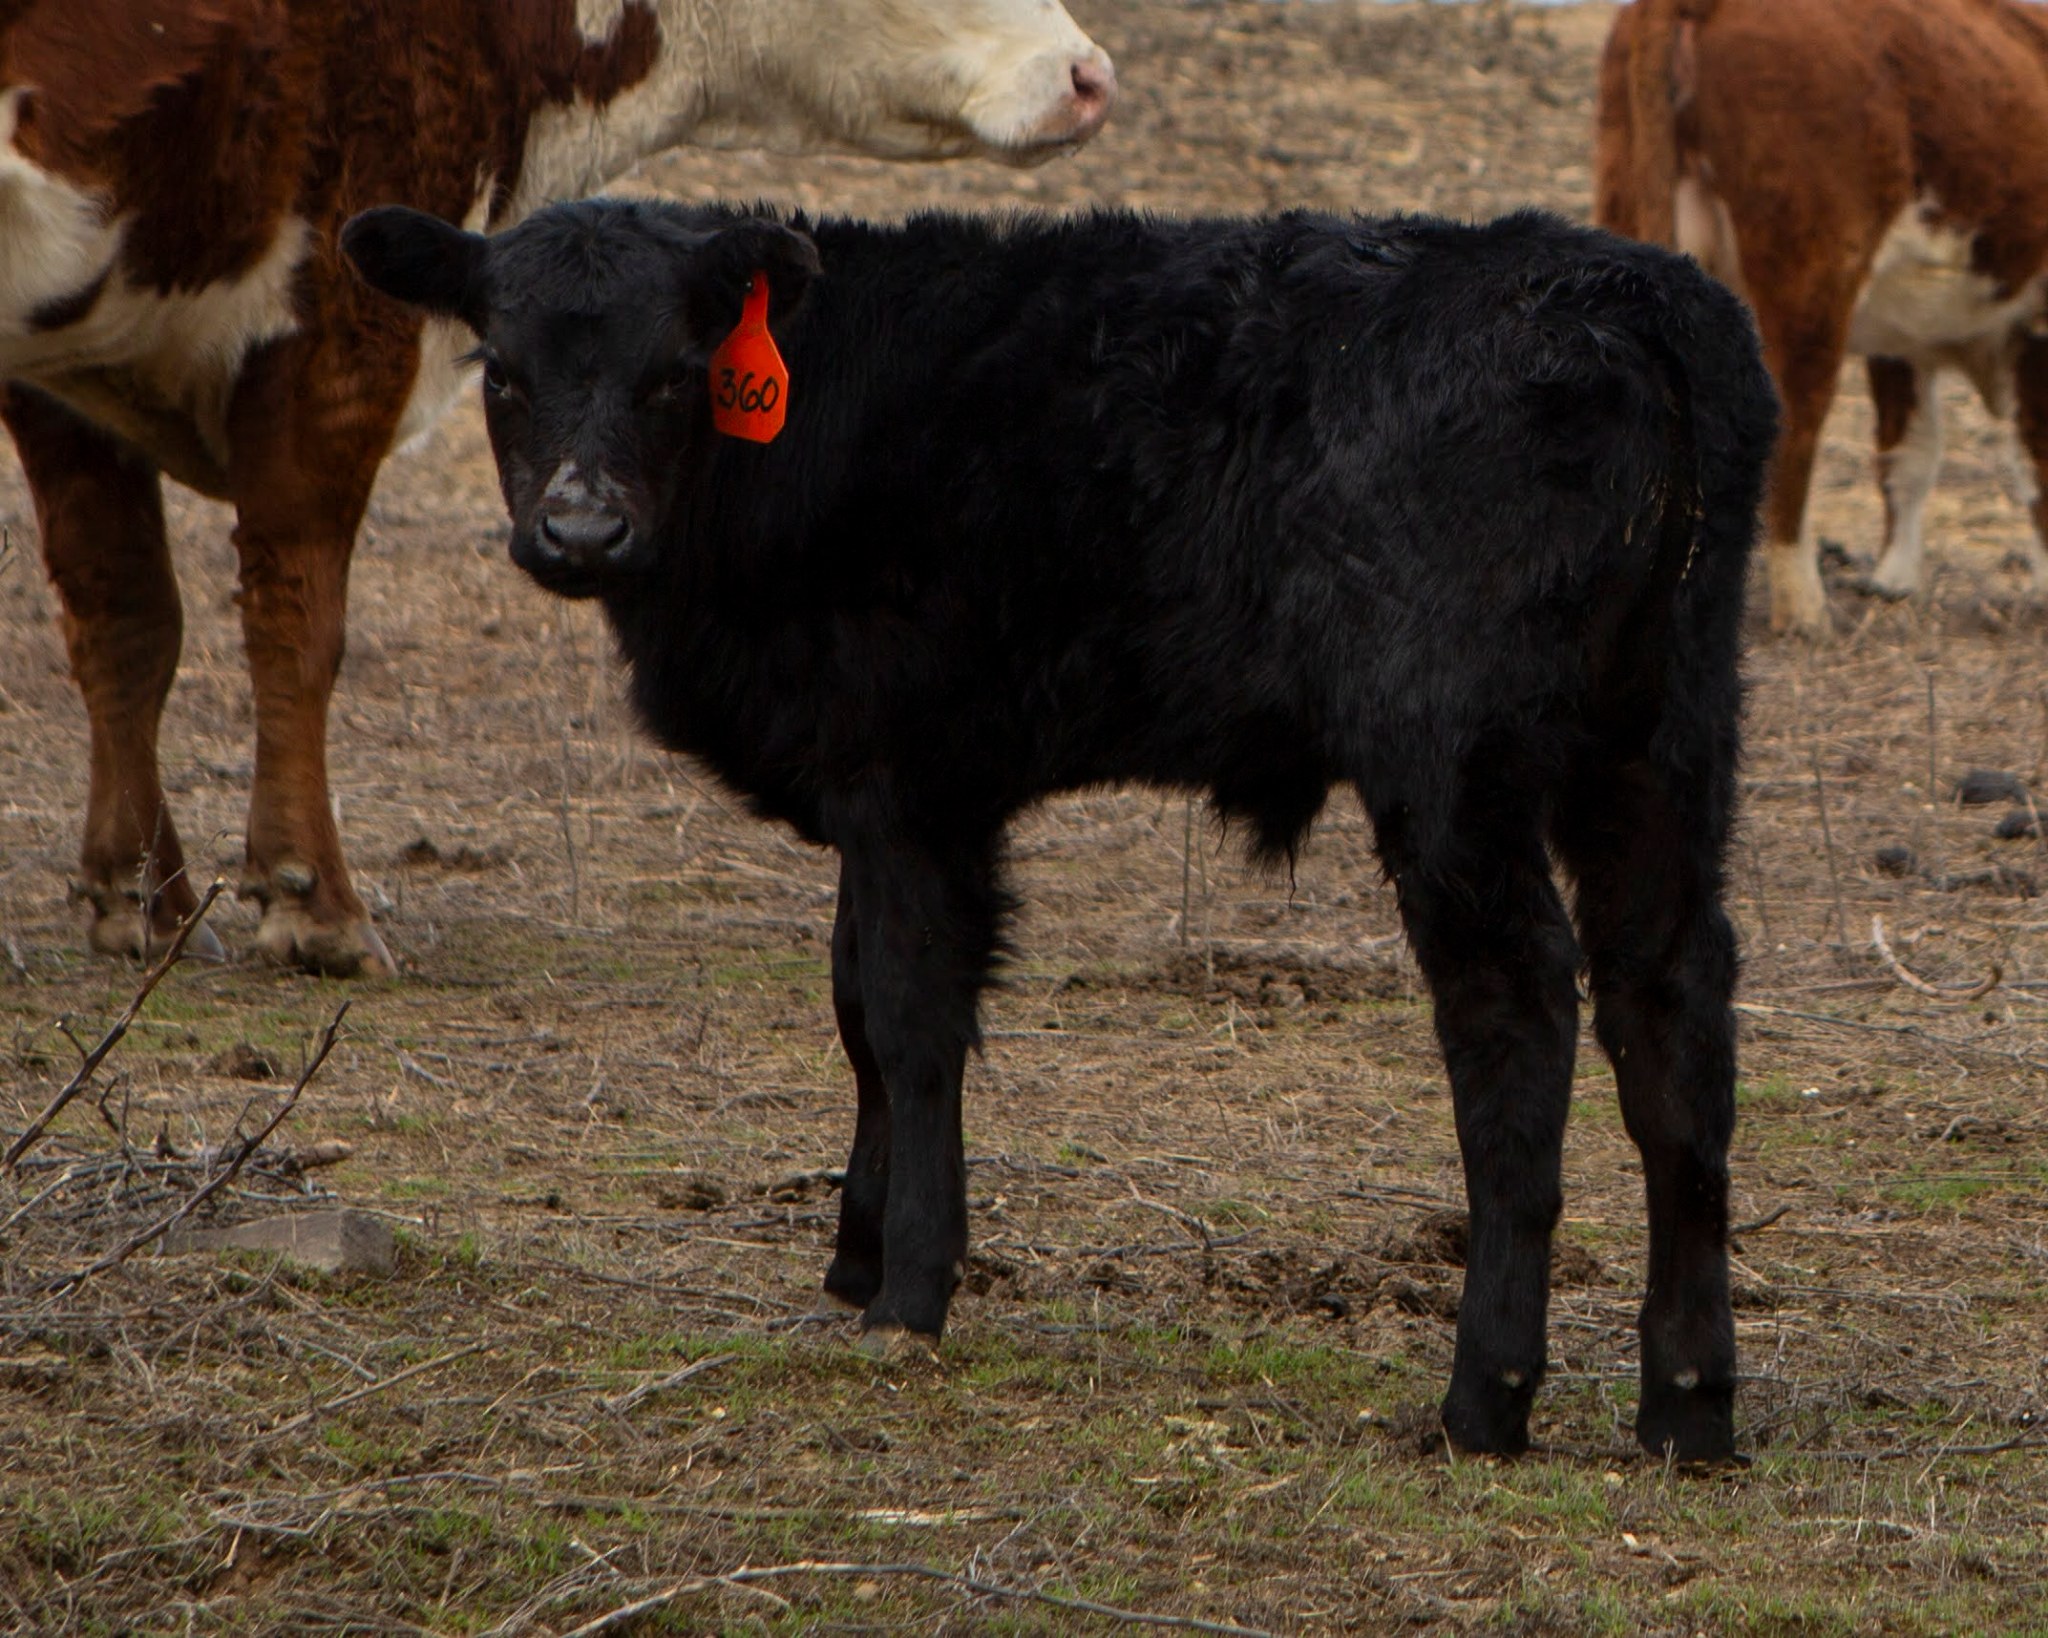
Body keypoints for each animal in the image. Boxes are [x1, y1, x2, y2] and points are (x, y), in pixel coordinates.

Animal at [0, 0, 1115, 976]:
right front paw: (310, 901)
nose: (1088, 77)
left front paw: (138, 896)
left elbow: (126, 621)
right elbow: (298, 629)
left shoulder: (72, 377)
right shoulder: (339, 333)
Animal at [343, 195, 1777, 1459]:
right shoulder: (888, 793)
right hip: (1666, 736)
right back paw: (1688, 1406)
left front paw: (909, 1289)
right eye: (501, 371)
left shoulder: (907, 779)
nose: (580, 528)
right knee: (1671, 1019)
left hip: (1452, 760)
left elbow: (909, 1021)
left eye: (674, 373)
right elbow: (853, 1007)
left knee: (1515, 1017)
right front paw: (856, 1251)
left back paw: (1485, 1397)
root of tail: (1634, 295)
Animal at [1597, 0, 2048, 636]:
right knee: (1792, 427)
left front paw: (1895, 581)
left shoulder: (1903, 337)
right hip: (1812, 279)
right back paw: (1804, 610)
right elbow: (2037, 460)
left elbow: (1909, 451)